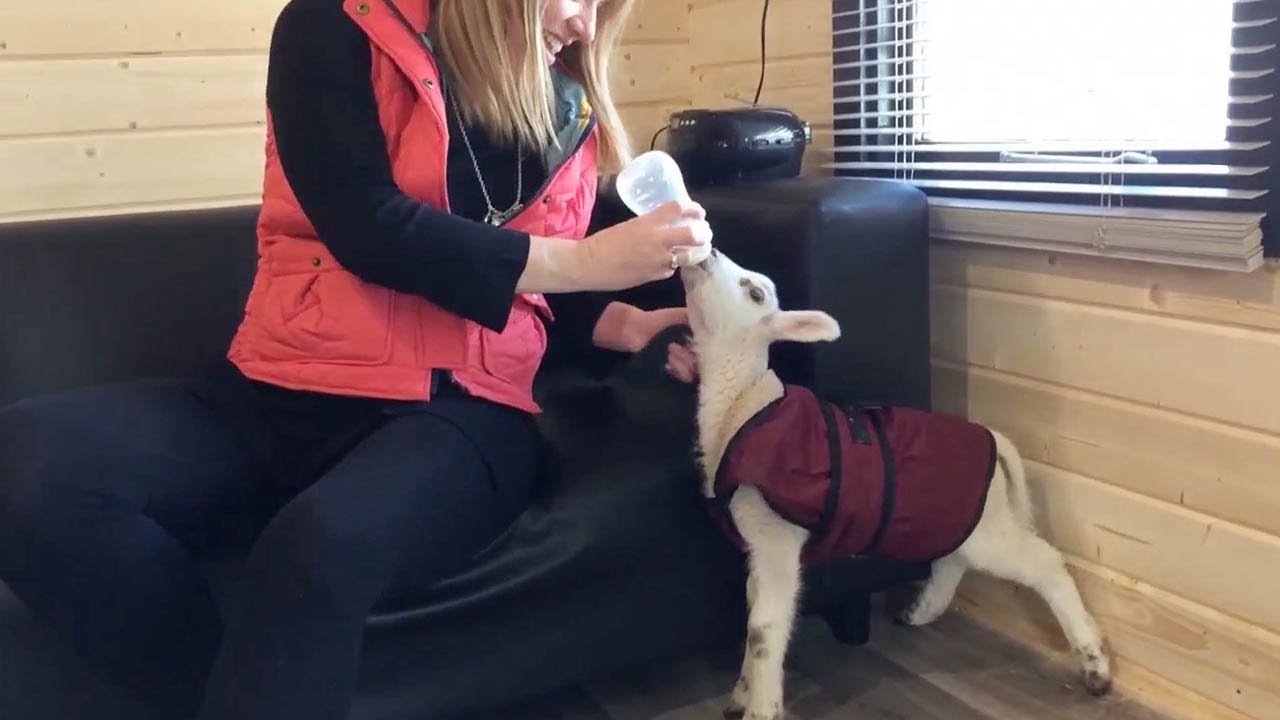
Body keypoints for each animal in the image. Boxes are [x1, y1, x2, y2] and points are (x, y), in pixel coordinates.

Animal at [678, 248, 1111, 720]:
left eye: (755, 293)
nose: (707, 252)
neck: (742, 408)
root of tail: (994, 441)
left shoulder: (777, 536)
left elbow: (762, 627)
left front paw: (761, 708)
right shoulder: (757, 541)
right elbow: (752, 612)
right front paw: (740, 695)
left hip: (987, 525)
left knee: (1044, 562)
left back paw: (1095, 667)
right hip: (953, 514)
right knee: (954, 558)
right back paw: (920, 611)